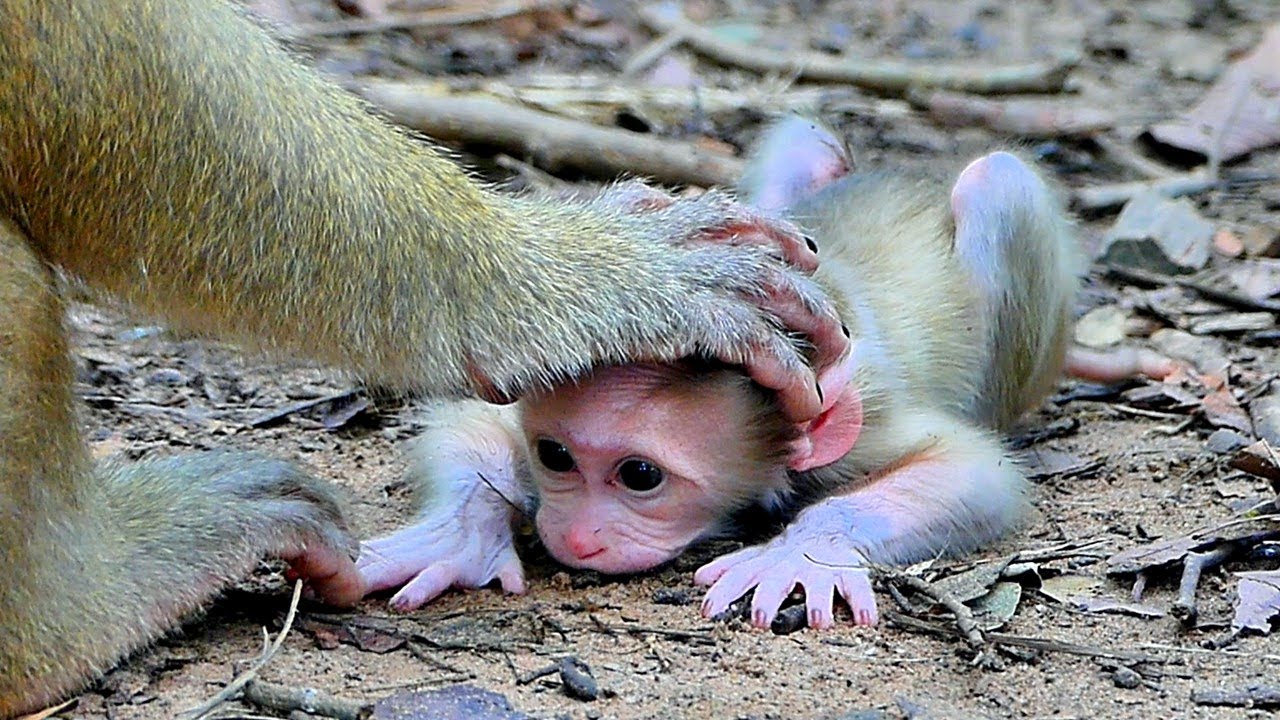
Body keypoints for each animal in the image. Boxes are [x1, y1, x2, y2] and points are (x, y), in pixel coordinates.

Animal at [357, 116, 1180, 628]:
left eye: (639, 476)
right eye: (555, 456)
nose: (575, 539)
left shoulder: (857, 425)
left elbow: (981, 474)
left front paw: (800, 551)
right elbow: (473, 419)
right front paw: (457, 533)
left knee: (996, 181)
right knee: (803, 144)